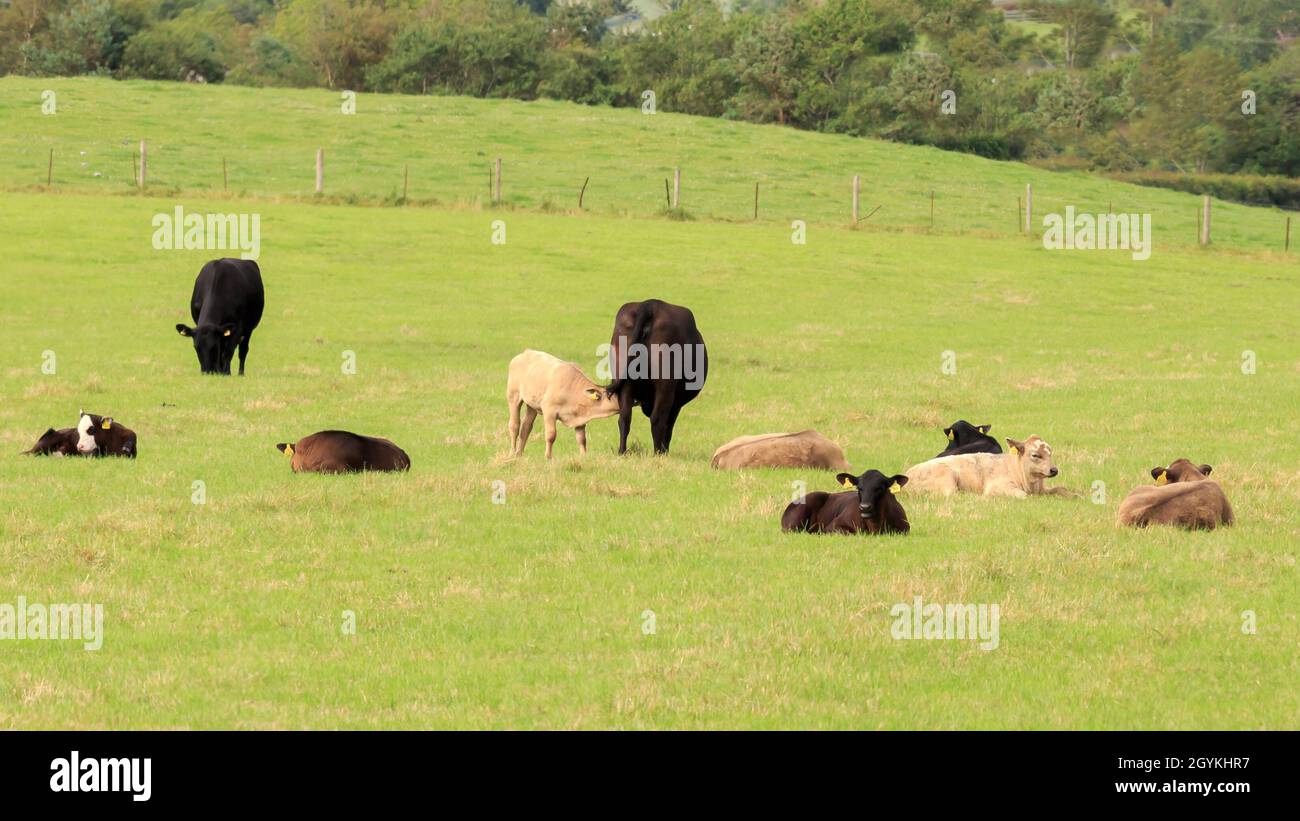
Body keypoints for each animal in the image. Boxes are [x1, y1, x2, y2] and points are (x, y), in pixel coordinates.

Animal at [607, 299, 707, 455]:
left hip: (624, 383)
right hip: (665, 386)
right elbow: (669, 427)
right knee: (658, 419)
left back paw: (622, 452)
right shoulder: (676, 404)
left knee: (624, 418)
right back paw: (658, 453)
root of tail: (650, 305)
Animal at [904, 435, 1067, 497]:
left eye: (1050, 453)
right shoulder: (998, 487)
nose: (1054, 470)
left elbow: (1061, 489)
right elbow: (1023, 495)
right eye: (1035, 455)